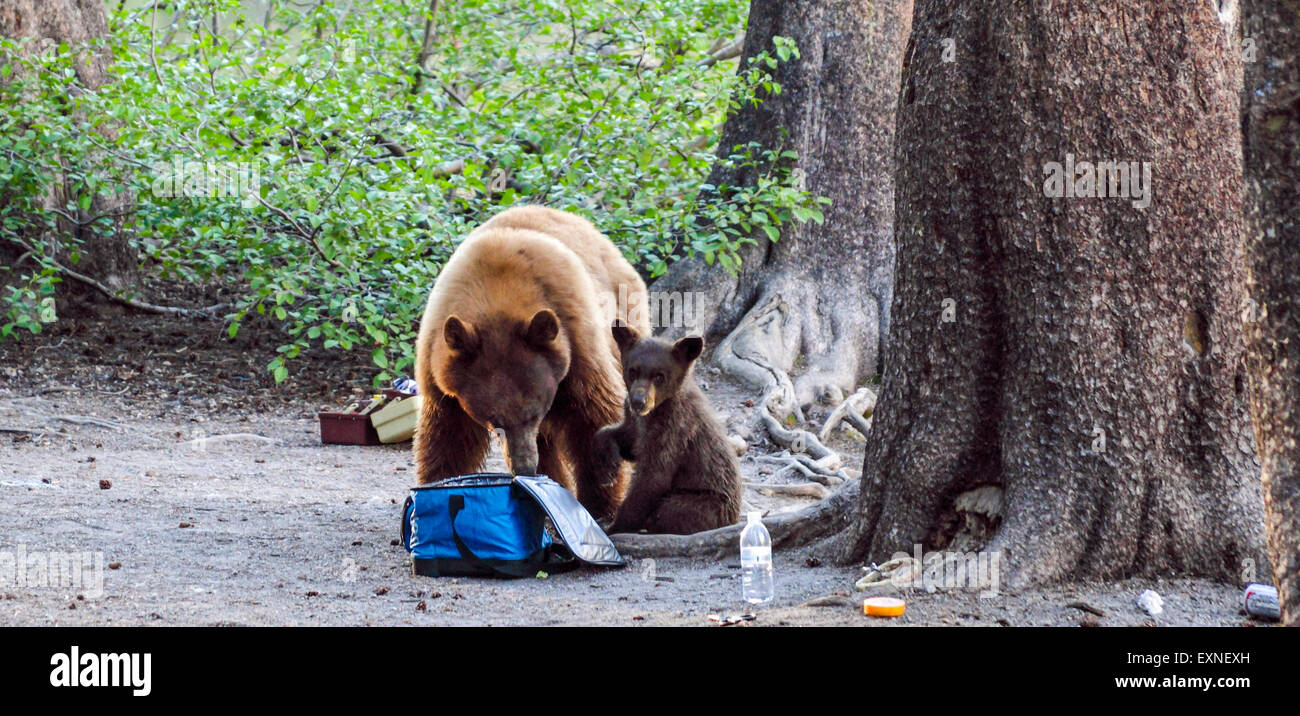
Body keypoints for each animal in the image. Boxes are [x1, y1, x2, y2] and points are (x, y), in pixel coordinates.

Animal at [413, 205, 650, 520]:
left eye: (534, 414)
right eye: (494, 422)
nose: (524, 467)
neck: (498, 291)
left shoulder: (576, 340)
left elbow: (593, 412)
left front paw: (599, 500)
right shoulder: (439, 368)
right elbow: (448, 434)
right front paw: (437, 485)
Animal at [597, 325, 743, 534]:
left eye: (659, 375)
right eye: (632, 371)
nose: (638, 402)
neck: (656, 410)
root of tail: (734, 518)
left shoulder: (673, 429)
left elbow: (653, 478)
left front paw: (613, 527)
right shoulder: (637, 422)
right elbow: (628, 440)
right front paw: (607, 468)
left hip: (707, 503)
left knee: (669, 509)